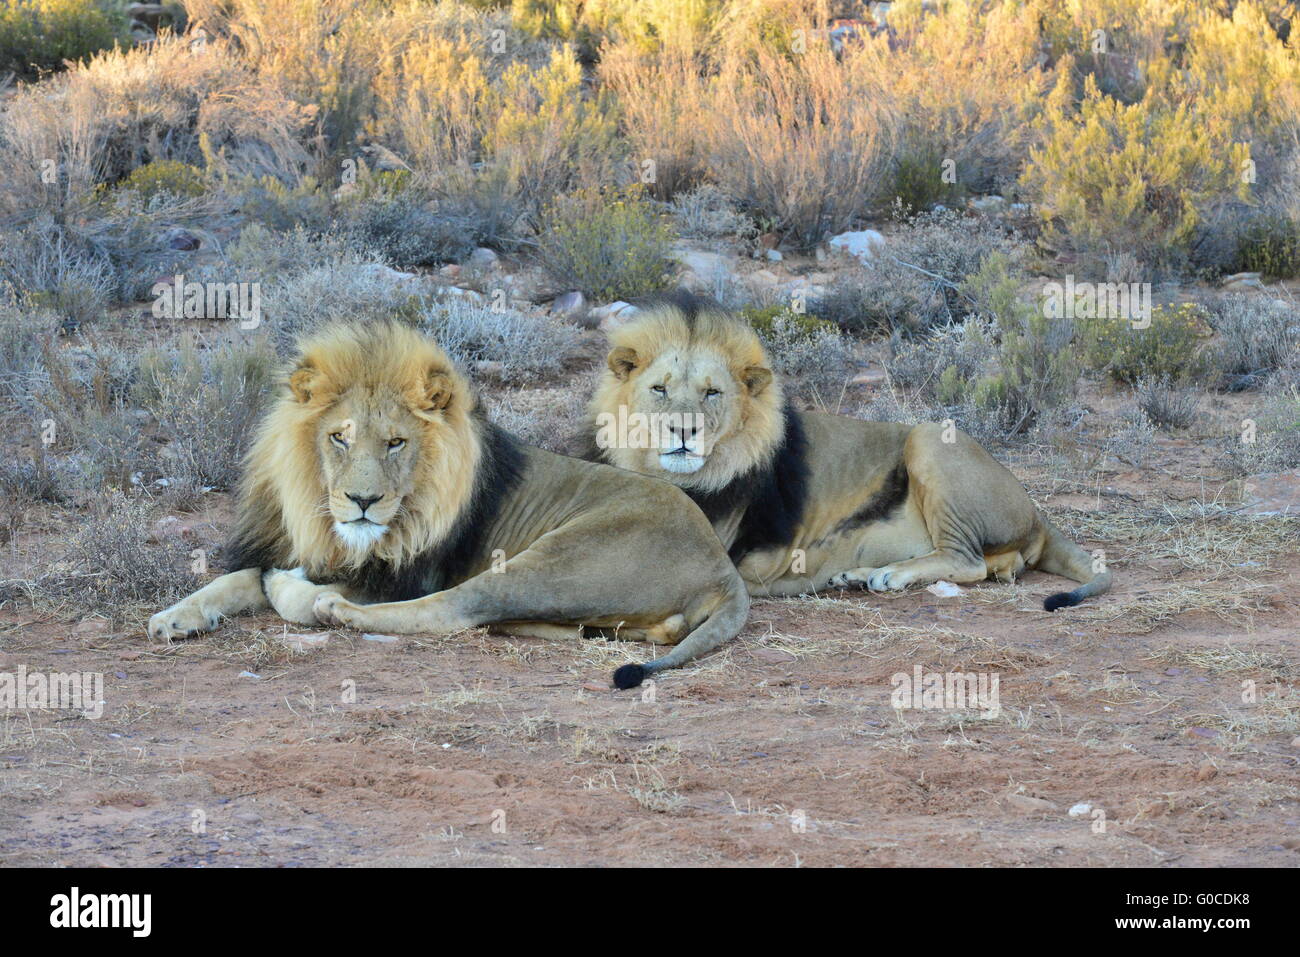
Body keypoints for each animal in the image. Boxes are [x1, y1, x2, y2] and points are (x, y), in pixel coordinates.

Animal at [148, 320, 748, 690]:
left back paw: (318, 602)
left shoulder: (398, 576)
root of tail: (723, 567)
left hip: (555, 560)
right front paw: (175, 617)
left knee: (450, 611)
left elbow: (285, 585)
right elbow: (234, 578)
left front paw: (292, 591)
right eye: (339, 437)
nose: (363, 501)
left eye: (396, 443)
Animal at [584, 293, 1111, 609]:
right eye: (659, 389)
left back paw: (889, 576)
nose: (684, 429)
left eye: (712, 393)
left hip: (928, 436)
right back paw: (858, 575)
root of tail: (1038, 513)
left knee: (968, 560)